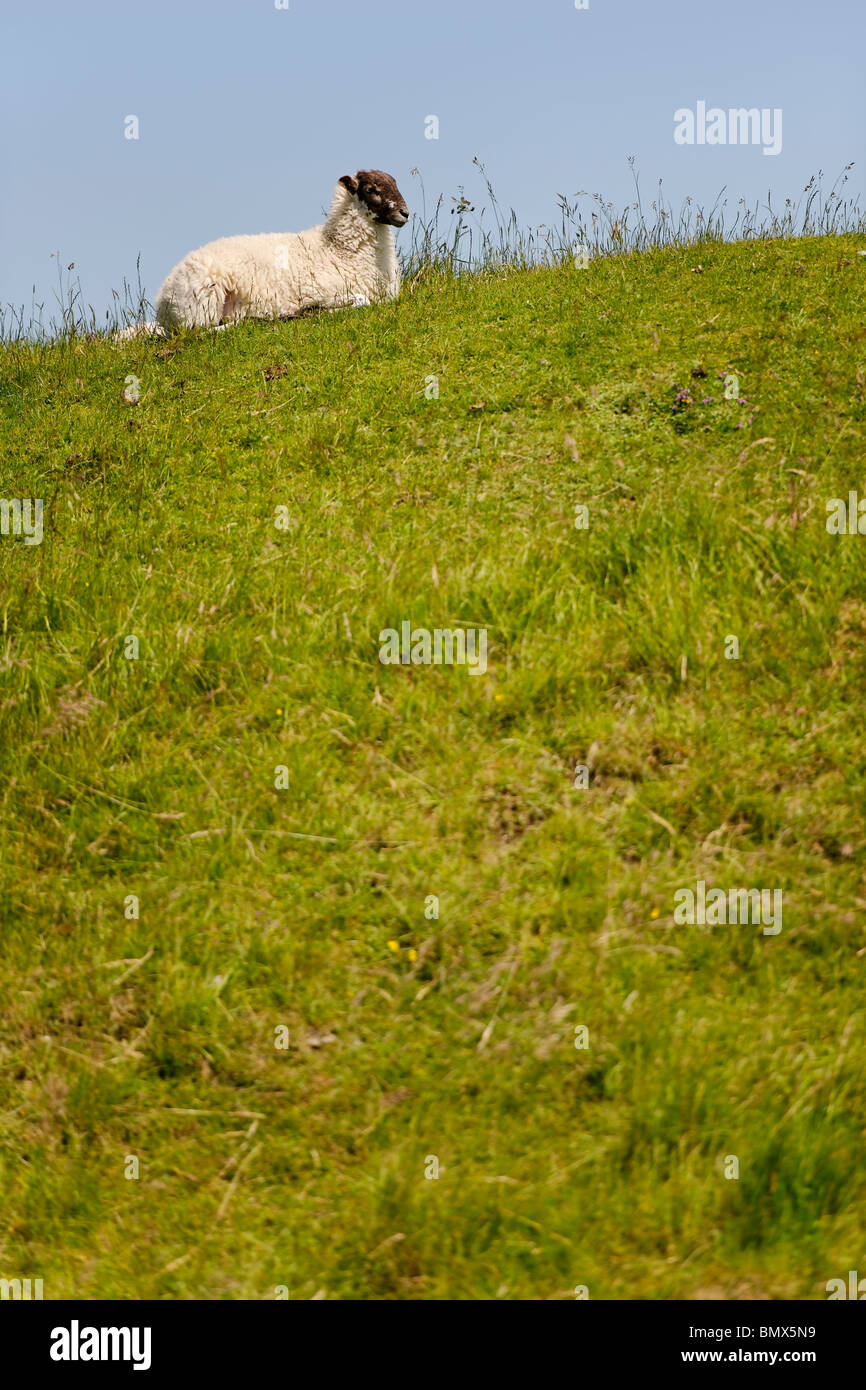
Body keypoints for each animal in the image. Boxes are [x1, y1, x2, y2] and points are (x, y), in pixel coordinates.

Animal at [116, 170, 409, 340]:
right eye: (373, 190)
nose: (405, 213)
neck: (339, 248)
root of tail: (163, 301)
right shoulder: (324, 292)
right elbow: (361, 301)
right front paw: (311, 312)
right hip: (202, 303)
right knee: (197, 332)